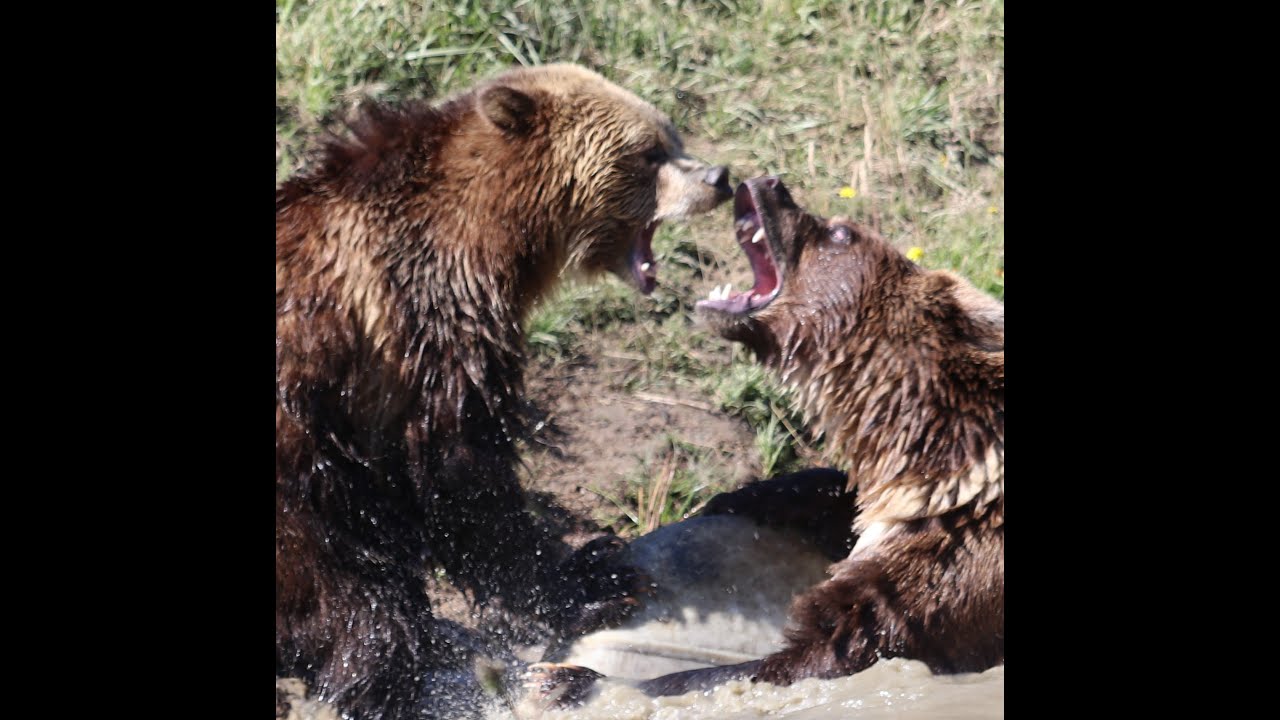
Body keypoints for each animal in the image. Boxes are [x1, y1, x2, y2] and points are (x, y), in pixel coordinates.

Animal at [276, 63, 733, 719]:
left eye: (673, 135)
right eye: (649, 152)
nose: (719, 178)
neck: (493, 232)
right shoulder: (424, 322)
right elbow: (464, 475)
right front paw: (592, 577)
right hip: (294, 474)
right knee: (345, 595)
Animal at [526, 175, 1003, 702]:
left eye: (841, 232)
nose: (770, 184)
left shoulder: (942, 568)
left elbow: (816, 653)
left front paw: (566, 678)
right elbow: (825, 494)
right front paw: (605, 564)